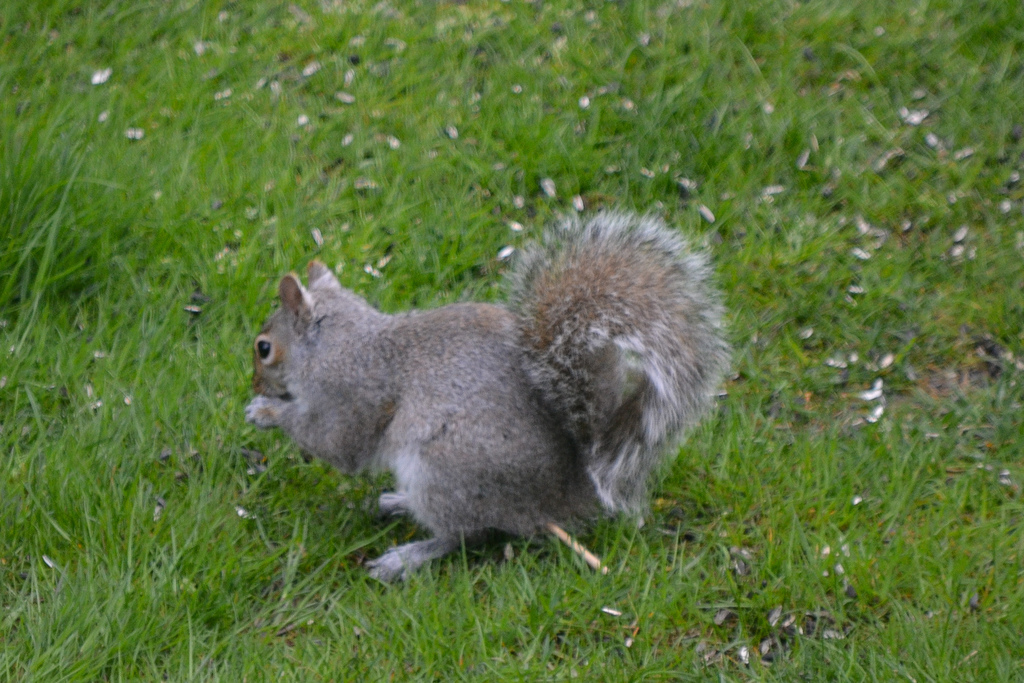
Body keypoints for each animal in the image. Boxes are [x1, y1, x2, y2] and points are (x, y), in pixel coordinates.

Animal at [245, 211, 730, 581]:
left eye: (263, 348)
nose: (254, 385)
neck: (338, 342)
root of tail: (570, 493)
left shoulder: (349, 397)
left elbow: (334, 444)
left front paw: (266, 411)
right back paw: (398, 502)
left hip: (444, 468)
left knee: (467, 534)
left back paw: (406, 557)